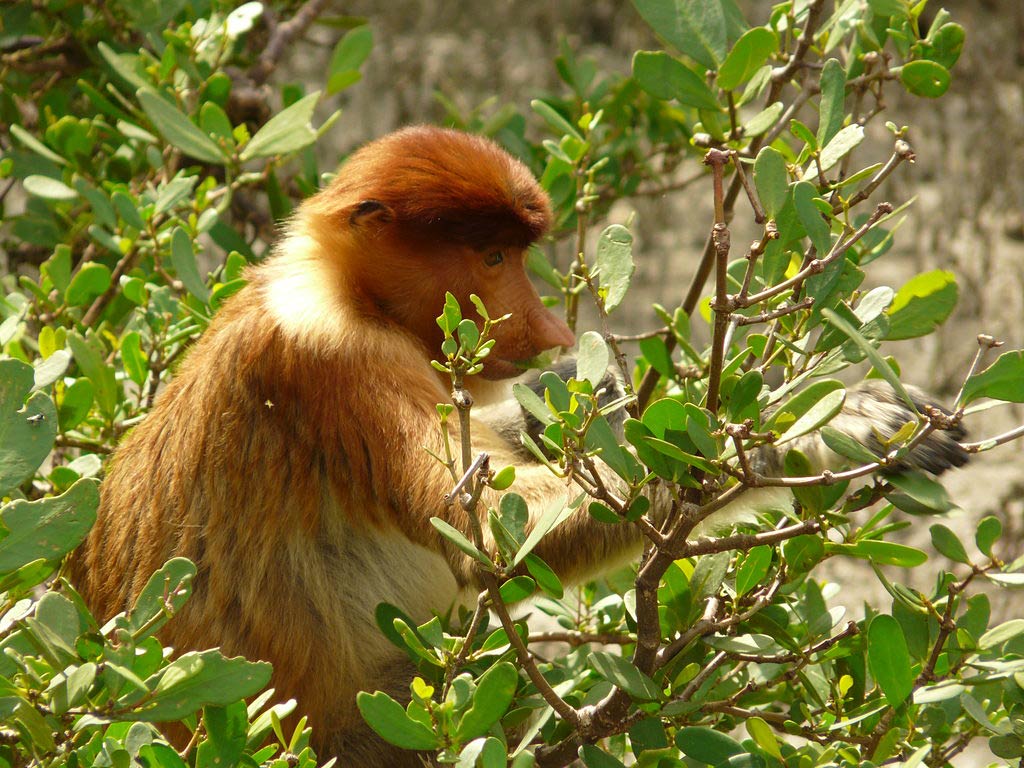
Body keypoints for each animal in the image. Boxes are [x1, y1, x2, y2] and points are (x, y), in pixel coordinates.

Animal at [69, 126, 968, 767]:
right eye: (492, 255)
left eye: (517, 255)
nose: (551, 334)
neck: (338, 286)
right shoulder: (335, 364)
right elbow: (485, 533)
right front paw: (829, 430)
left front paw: (595, 394)